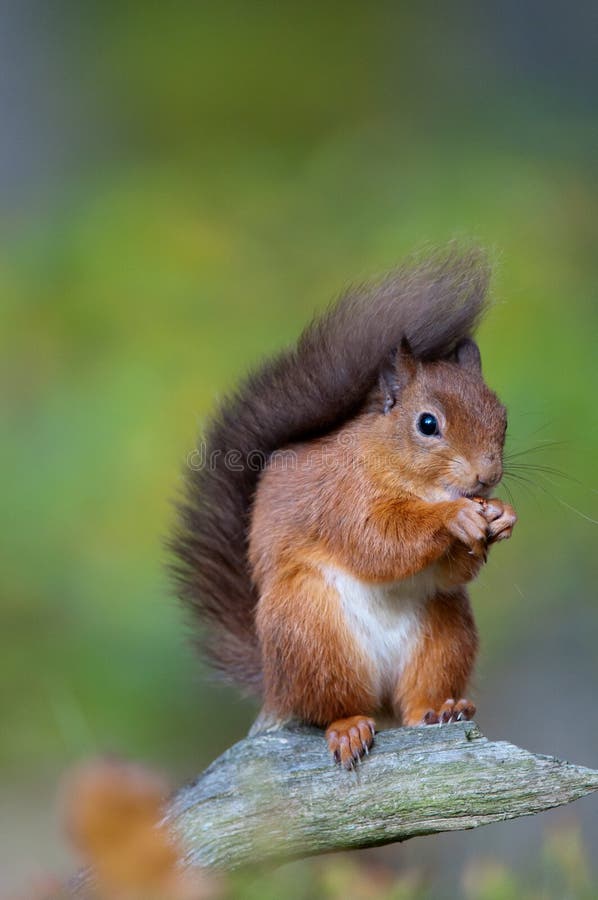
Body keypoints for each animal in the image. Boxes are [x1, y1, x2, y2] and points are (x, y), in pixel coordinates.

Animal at [172, 246, 517, 769]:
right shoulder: (341, 499)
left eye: (503, 417)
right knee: (331, 708)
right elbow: (378, 541)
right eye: (428, 423)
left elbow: (451, 570)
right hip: (312, 632)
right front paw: (454, 518)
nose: (486, 476)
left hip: (443, 633)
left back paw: (441, 710)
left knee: (415, 700)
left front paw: (501, 516)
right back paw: (349, 728)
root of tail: (276, 685)